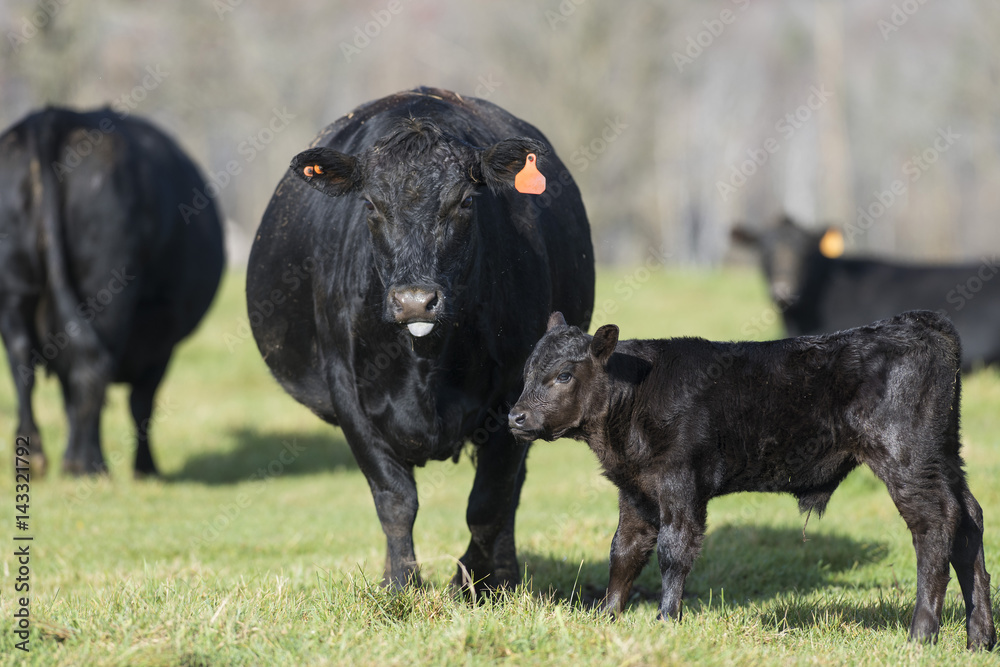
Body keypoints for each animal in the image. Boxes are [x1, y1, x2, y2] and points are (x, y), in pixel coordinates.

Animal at [0, 107, 225, 476]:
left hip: (14, 291)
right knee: (91, 368)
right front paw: (146, 468)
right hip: (107, 293)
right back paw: (87, 464)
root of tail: (55, 115)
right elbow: (141, 402)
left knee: (23, 364)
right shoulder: (162, 339)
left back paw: (35, 457)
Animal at [246, 88, 594, 590]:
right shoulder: (348, 393)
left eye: (465, 202)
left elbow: (488, 501)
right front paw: (399, 585)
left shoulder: (516, 393)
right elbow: (395, 500)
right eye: (371, 206)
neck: (426, 368)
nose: (415, 301)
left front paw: (477, 584)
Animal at [509, 310, 995, 650]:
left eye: (564, 375)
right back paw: (980, 638)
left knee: (936, 524)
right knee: (969, 521)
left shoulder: (680, 484)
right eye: (526, 372)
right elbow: (623, 553)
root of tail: (920, 322)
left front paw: (666, 622)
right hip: (945, 456)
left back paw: (921, 635)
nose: (516, 416)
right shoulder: (636, 490)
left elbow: (673, 551)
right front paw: (606, 619)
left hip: (908, 459)